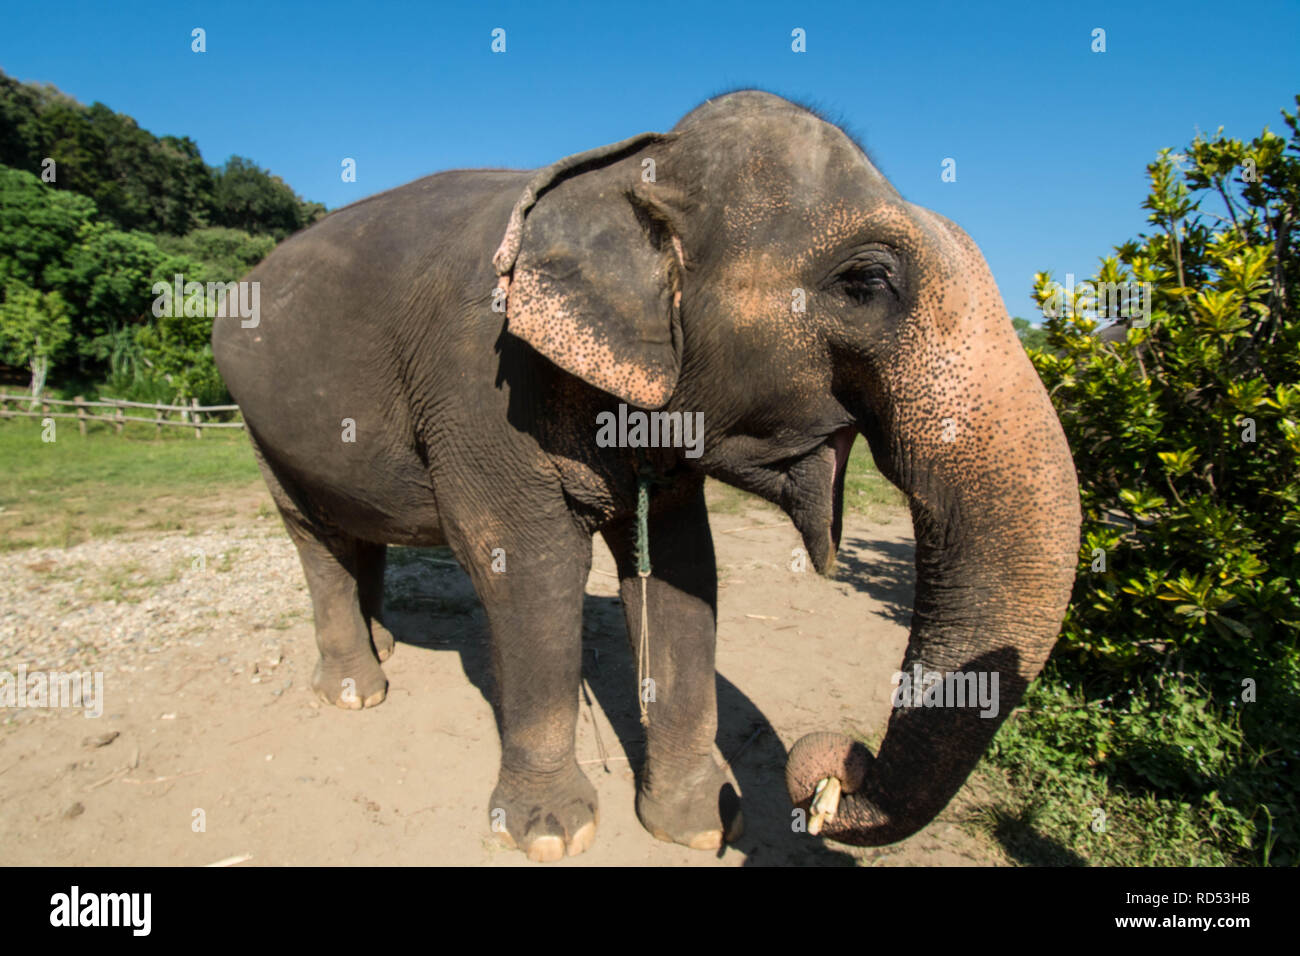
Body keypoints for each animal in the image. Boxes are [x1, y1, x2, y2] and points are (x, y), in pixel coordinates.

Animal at [211, 89, 1081, 862]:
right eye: (865, 281)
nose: (837, 769)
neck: (637, 162)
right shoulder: (477, 390)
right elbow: (531, 570)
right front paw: (551, 835)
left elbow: (682, 573)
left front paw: (701, 826)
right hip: (257, 423)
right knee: (313, 534)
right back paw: (357, 690)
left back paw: (386, 647)